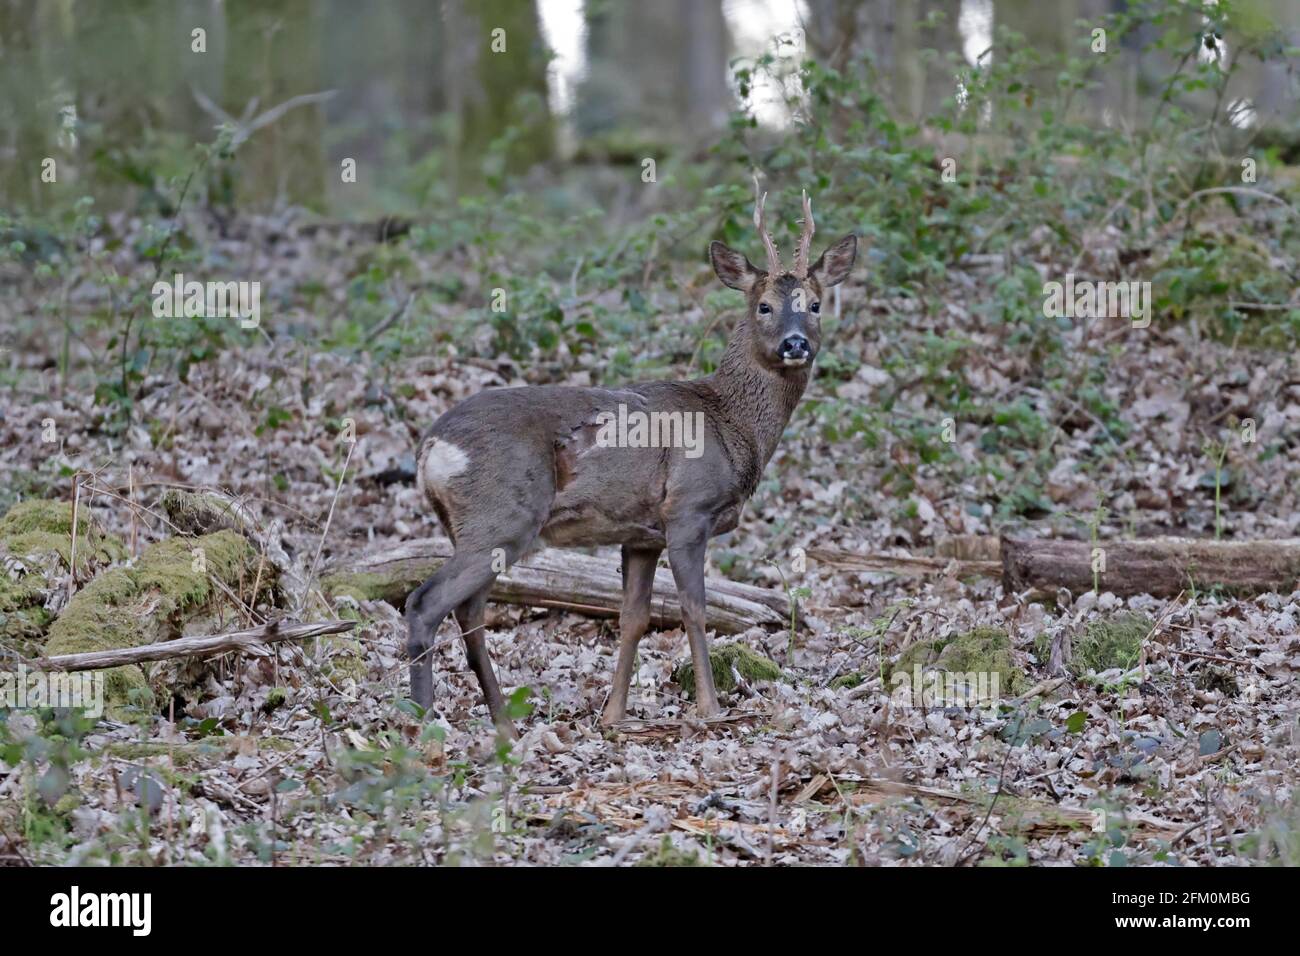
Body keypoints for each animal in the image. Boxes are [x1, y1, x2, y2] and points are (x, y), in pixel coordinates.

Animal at [407, 184, 856, 738]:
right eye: (765, 306)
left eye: (815, 304)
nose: (796, 344)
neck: (731, 424)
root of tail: (431, 449)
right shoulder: (688, 510)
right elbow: (693, 609)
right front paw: (710, 708)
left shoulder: (640, 535)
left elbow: (633, 618)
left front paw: (613, 716)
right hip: (500, 517)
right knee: (425, 603)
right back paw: (424, 723)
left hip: (478, 527)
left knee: (469, 610)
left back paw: (503, 723)